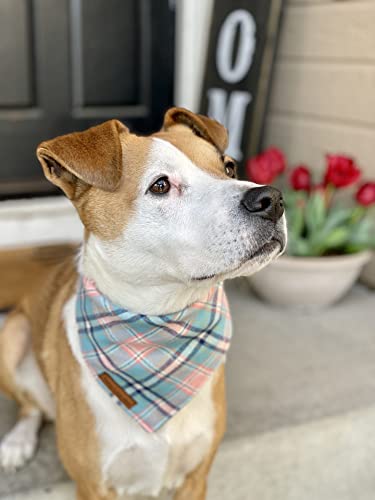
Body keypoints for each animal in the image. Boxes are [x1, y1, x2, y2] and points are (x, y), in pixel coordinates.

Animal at [0, 107, 286, 498]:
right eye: (160, 186)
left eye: (228, 168)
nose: (271, 199)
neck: (160, 327)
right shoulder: (93, 485)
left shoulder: (196, 476)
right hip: (12, 334)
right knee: (31, 406)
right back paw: (17, 442)